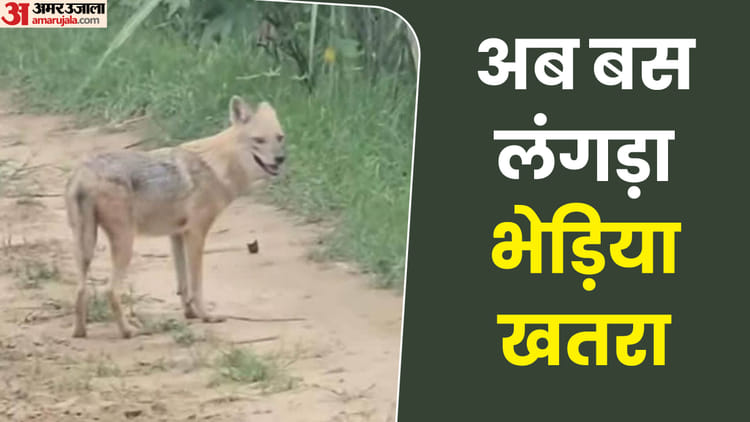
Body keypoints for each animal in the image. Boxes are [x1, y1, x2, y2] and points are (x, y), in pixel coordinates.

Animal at [64, 95, 286, 338]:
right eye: (258, 140)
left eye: (279, 137)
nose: (280, 159)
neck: (217, 167)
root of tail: (83, 173)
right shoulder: (196, 234)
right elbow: (196, 284)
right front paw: (206, 316)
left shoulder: (177, 235)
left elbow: (183, 285)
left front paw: (190, 314)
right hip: (124, 245)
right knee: (110, 290)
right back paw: (128, 331)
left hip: (85, 249)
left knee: (80, 289)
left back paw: (80, 332)